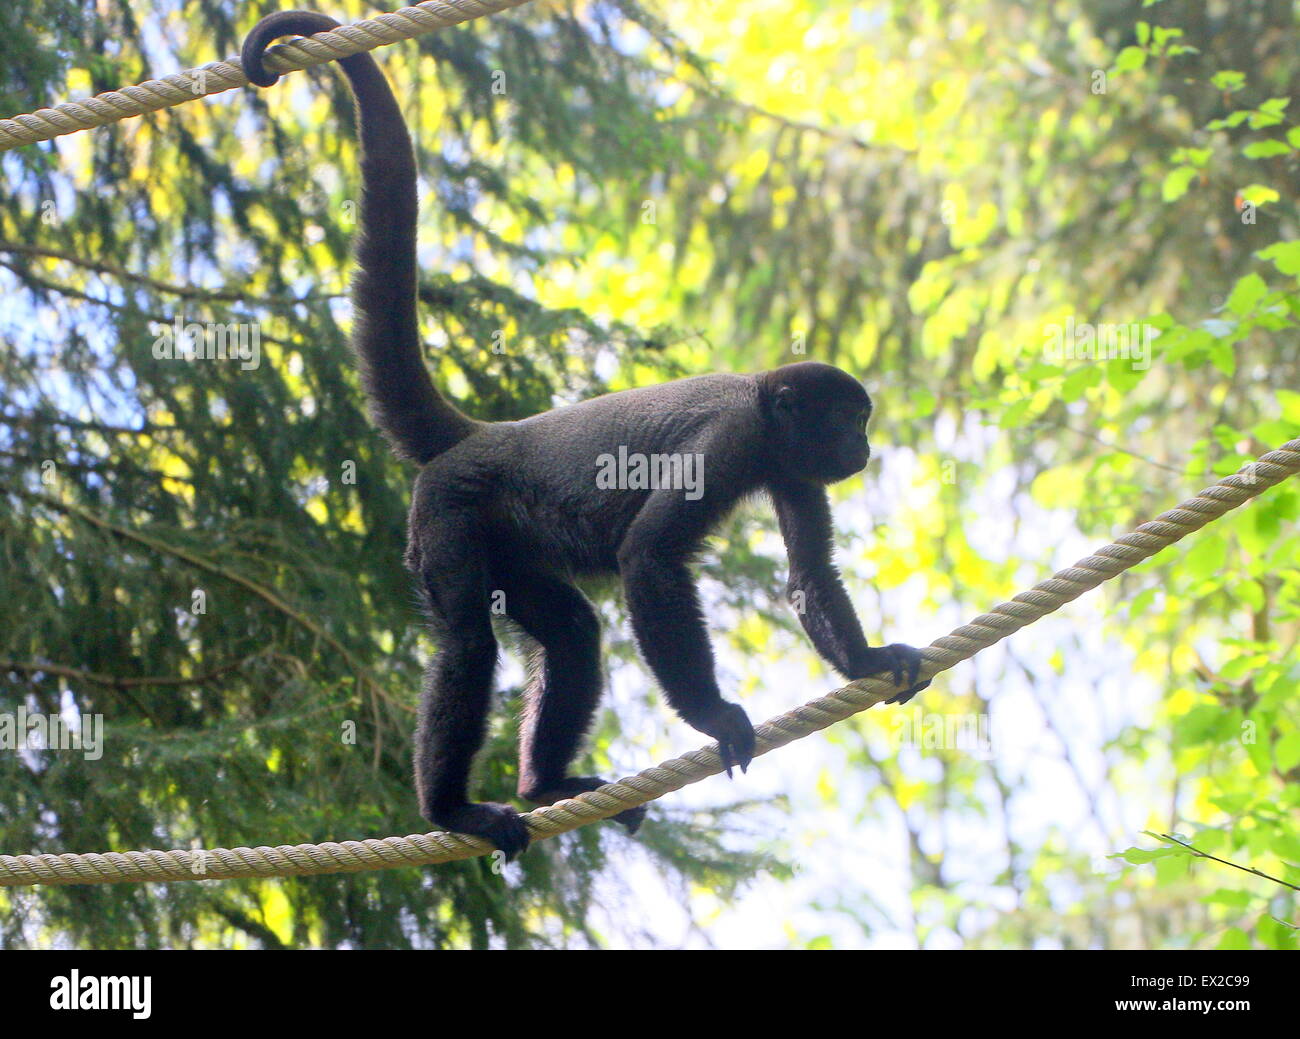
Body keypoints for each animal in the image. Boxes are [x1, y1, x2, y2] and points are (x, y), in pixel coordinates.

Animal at [240, 11, 929, 859]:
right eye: (849, 417)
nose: (862, 445)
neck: (764, 408)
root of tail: (480, 436)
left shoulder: (789, 466)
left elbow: (807, 576)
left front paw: (868, 657)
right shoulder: (731, 438)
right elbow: (649, 557)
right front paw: (715, 716)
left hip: (509, 541)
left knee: (572, 632)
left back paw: (545, 786)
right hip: (447, 513)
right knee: (469, 643)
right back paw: (452, 808)